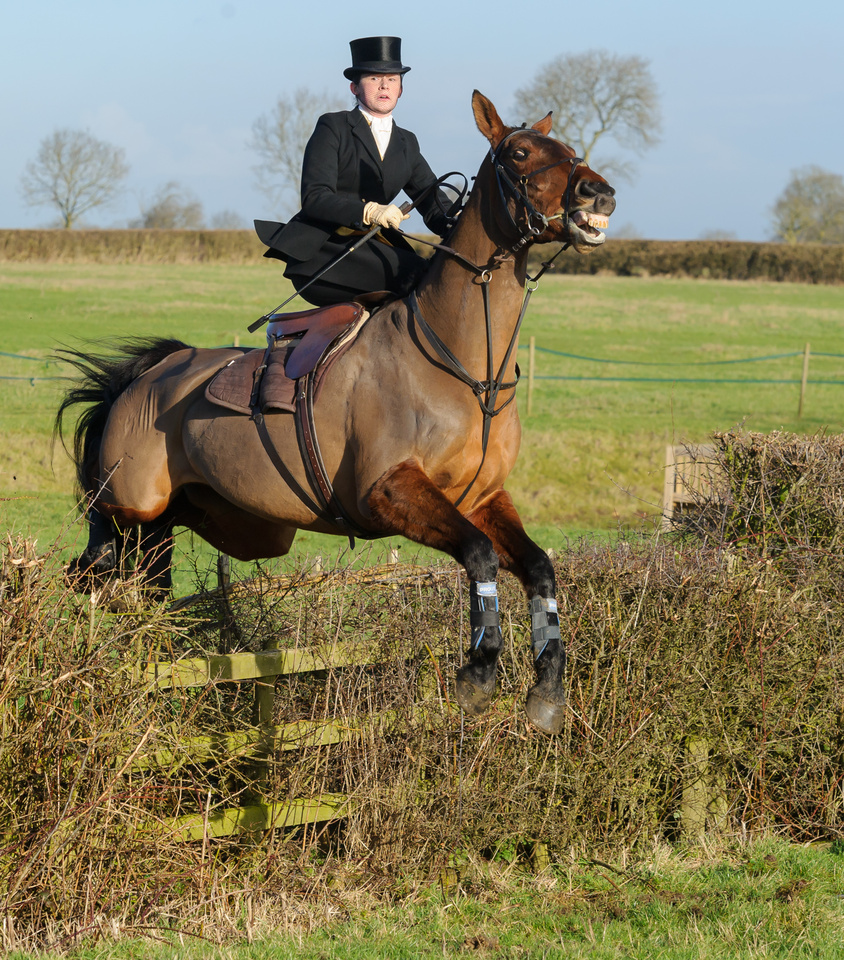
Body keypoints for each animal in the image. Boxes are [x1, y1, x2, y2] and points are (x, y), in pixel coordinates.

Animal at [56, 91, 615, 735]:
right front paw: (478, 673)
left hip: (200, 521)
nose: (600, 195)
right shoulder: (387, 492)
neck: (469, 367)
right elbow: (478, 556)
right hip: (134, 508)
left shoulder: (481, 496)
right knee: (95, 562)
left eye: (569, 148)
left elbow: (539, 567)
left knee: (144, 587)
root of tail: (151, 372)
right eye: (520, 152)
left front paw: (547, 690)